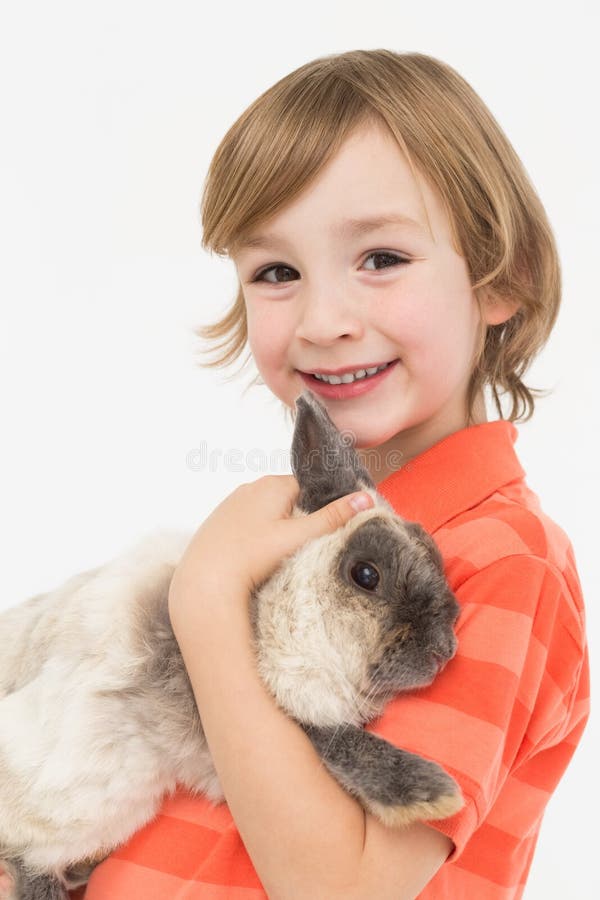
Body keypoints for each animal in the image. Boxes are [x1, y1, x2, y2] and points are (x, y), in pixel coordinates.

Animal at [0, 390, 462, 900]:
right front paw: (432, 795)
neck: (262, 612)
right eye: (366, 574)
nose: (445, 648)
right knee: (25, 857)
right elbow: (330, 737)